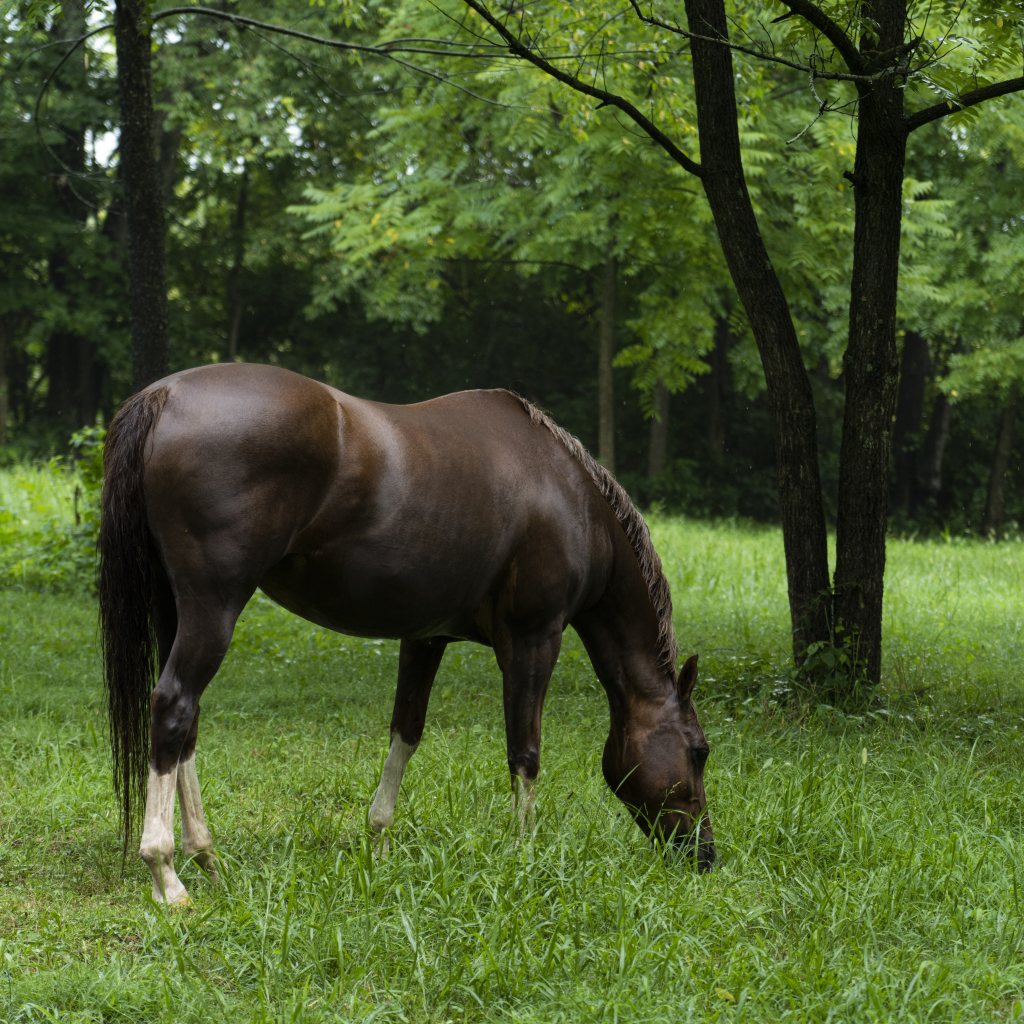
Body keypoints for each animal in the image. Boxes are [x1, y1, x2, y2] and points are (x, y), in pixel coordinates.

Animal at [98, 362, 715, 904]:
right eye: (700, 751)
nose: (705, 855)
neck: (570, 500)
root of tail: (166, 394)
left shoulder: (425, 637)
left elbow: (406, 733)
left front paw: (379, 842)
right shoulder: (534, 640)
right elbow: (525, 752)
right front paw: (523, 854)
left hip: (178, 610)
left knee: (187, 727)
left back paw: (206, 857)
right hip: (215, 609)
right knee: (174, 706)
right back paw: (166, 874)